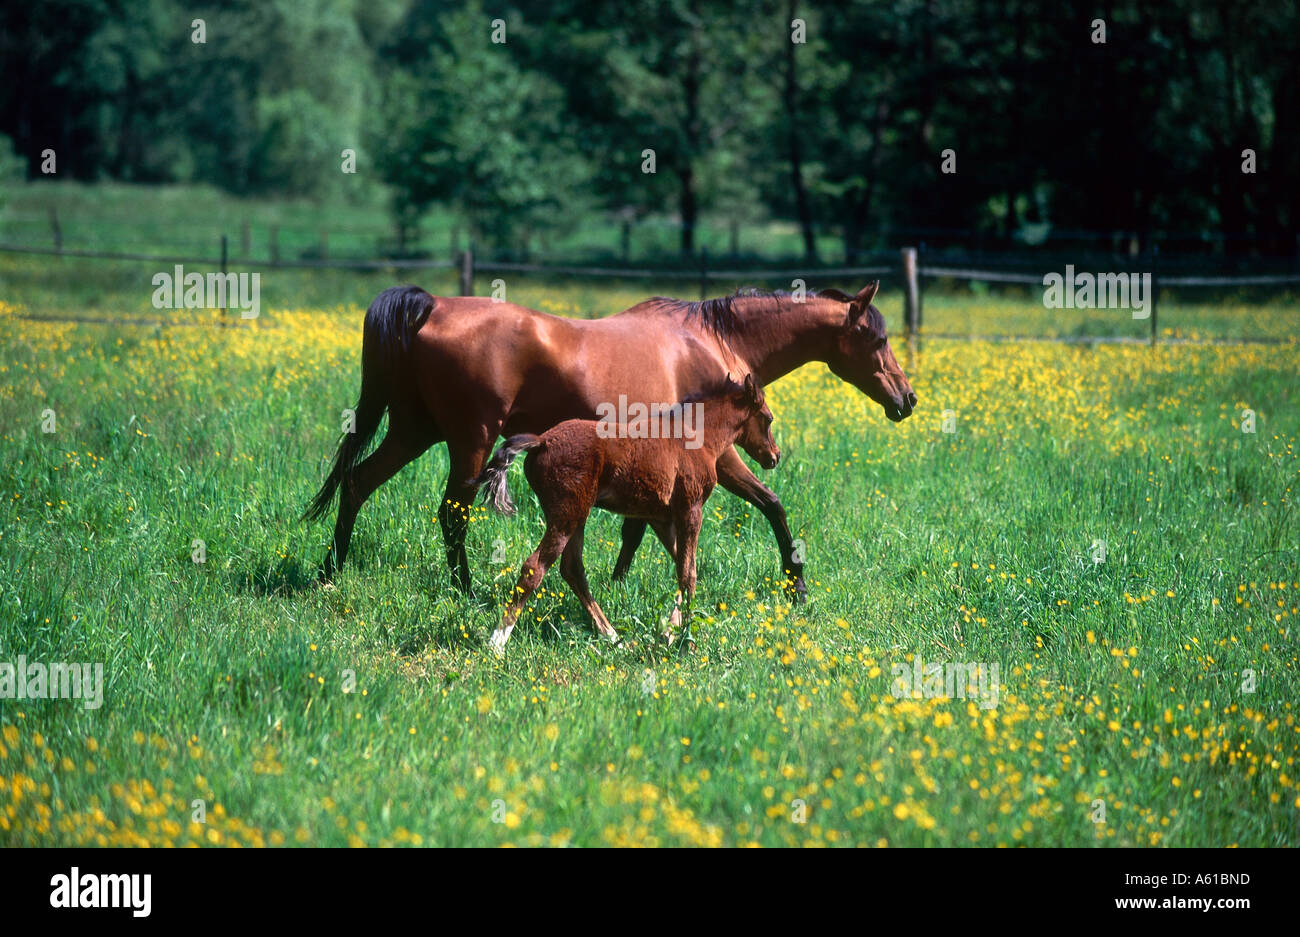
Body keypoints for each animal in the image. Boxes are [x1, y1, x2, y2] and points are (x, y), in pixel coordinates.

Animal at [304, 281, 915, 598]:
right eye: (878, 339)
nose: (906, 399)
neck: (712, 341)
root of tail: (431, 305)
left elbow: (637, 528)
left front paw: (618, 584)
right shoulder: (719, 455)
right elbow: (772, 505)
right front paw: (796, 582)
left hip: (414, 431)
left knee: (356, 483)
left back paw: (330, 573)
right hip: (470, 442)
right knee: (451, 514)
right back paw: (466, 592)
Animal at [472, 373, 780, 654]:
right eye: (768, 418)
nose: (774, 457)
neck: (695, 436)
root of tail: (541, 441)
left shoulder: (661, 518)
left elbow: (684, 565)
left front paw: (671, 630)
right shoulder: (691, 510)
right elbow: (687, 573)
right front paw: (684, 637)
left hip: (577, 516)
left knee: (572, 569)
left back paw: (612, 637)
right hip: (568, 515)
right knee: (535, 567)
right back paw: (497, 643)